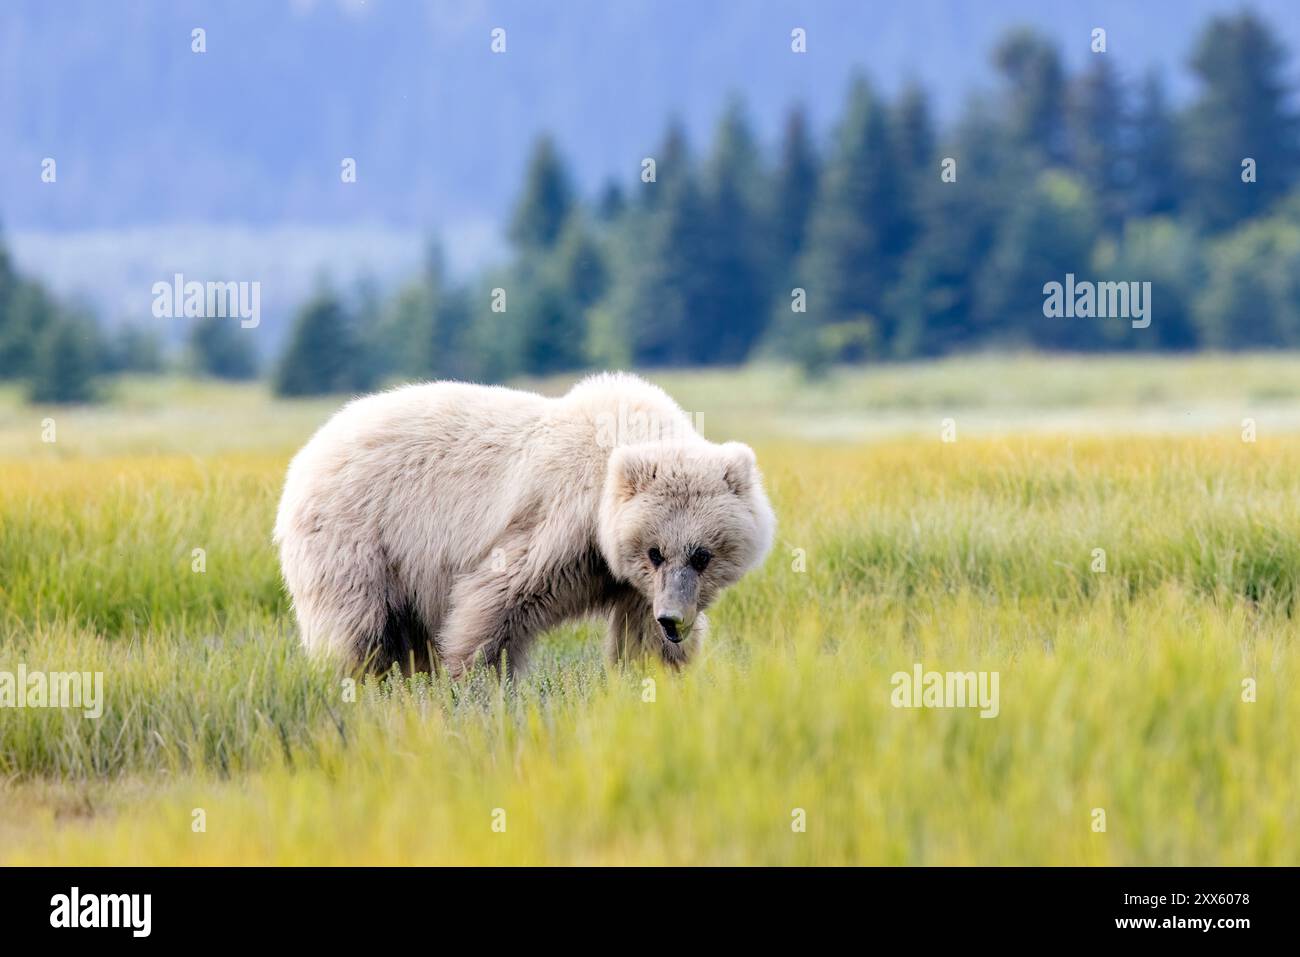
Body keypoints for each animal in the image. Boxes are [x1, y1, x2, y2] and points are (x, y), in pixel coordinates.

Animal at [273, 372, 775, 677]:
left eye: (702, 554)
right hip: (360, 541)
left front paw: (658, 677)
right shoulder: (558, 526)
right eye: (655, 552)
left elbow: (642, 644)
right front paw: (478, 686)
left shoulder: (632, 585)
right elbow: (494, 604)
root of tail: (307, 453)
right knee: (359, 635)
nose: (673, 619)